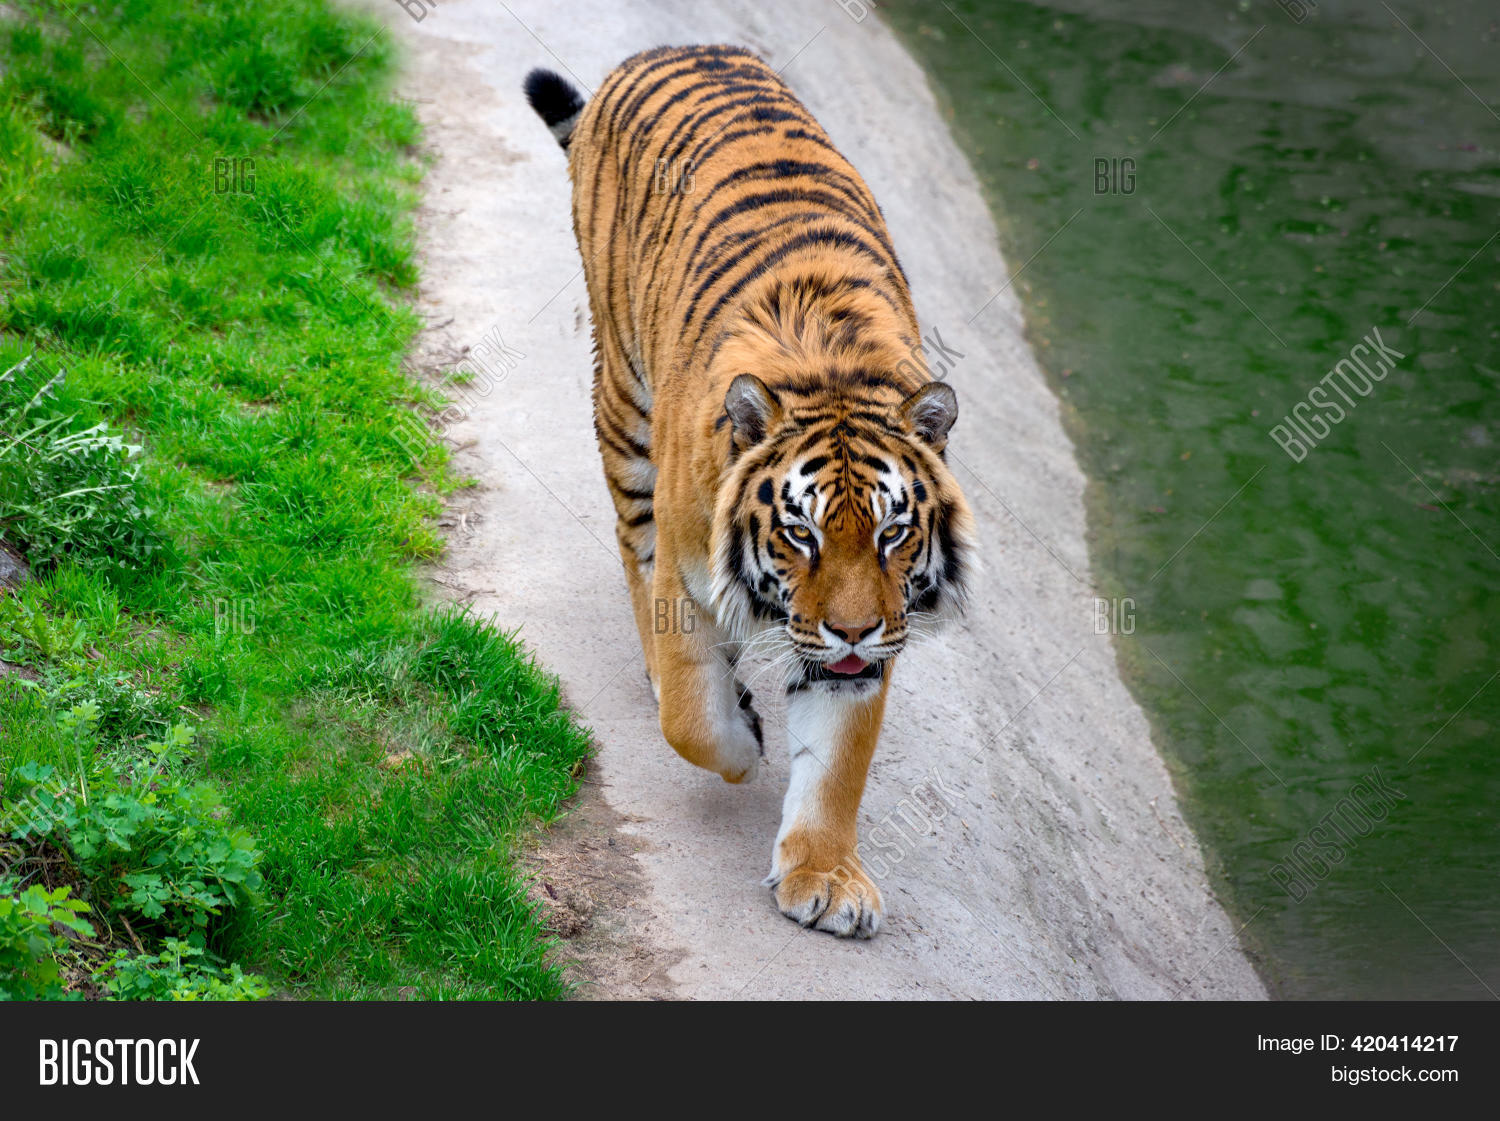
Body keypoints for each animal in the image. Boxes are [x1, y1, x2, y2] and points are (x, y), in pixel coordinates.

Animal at [523, 45, 975, 938]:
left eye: (892, 533)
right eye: (800, 533)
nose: (851, 630)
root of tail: (663, 50)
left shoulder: (869, 644)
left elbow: (837, 761)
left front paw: (824, 877)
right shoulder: (690, 576)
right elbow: (693, 720)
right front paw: (742, 738)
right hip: (624, 405)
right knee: (634, 549)